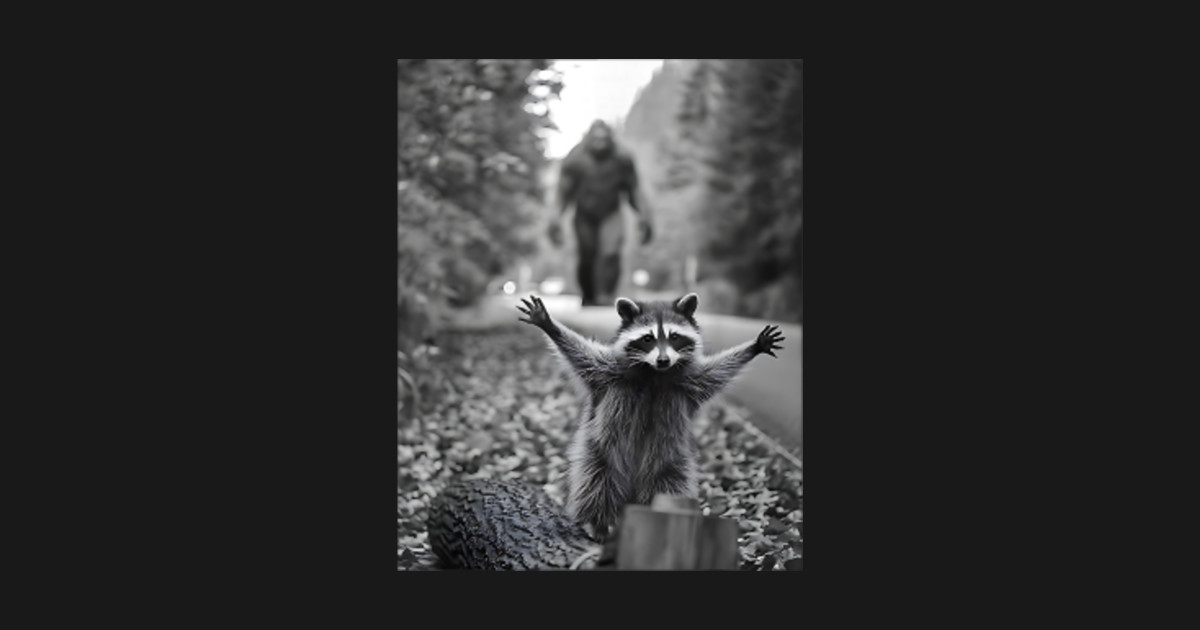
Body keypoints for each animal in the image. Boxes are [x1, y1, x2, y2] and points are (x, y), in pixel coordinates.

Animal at [517, 293, 784, 540]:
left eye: (674, 337)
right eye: (648, 339)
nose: (663, 359)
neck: (654, 373)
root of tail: (632, 492)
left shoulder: (690, 382)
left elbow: (718, 370)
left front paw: (752, 347)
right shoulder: (608, 373)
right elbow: (581, 353)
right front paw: (550, 325)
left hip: (672, 463)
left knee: (672, 489)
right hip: (599, 454)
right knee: (595, 484)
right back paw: (599, 523)